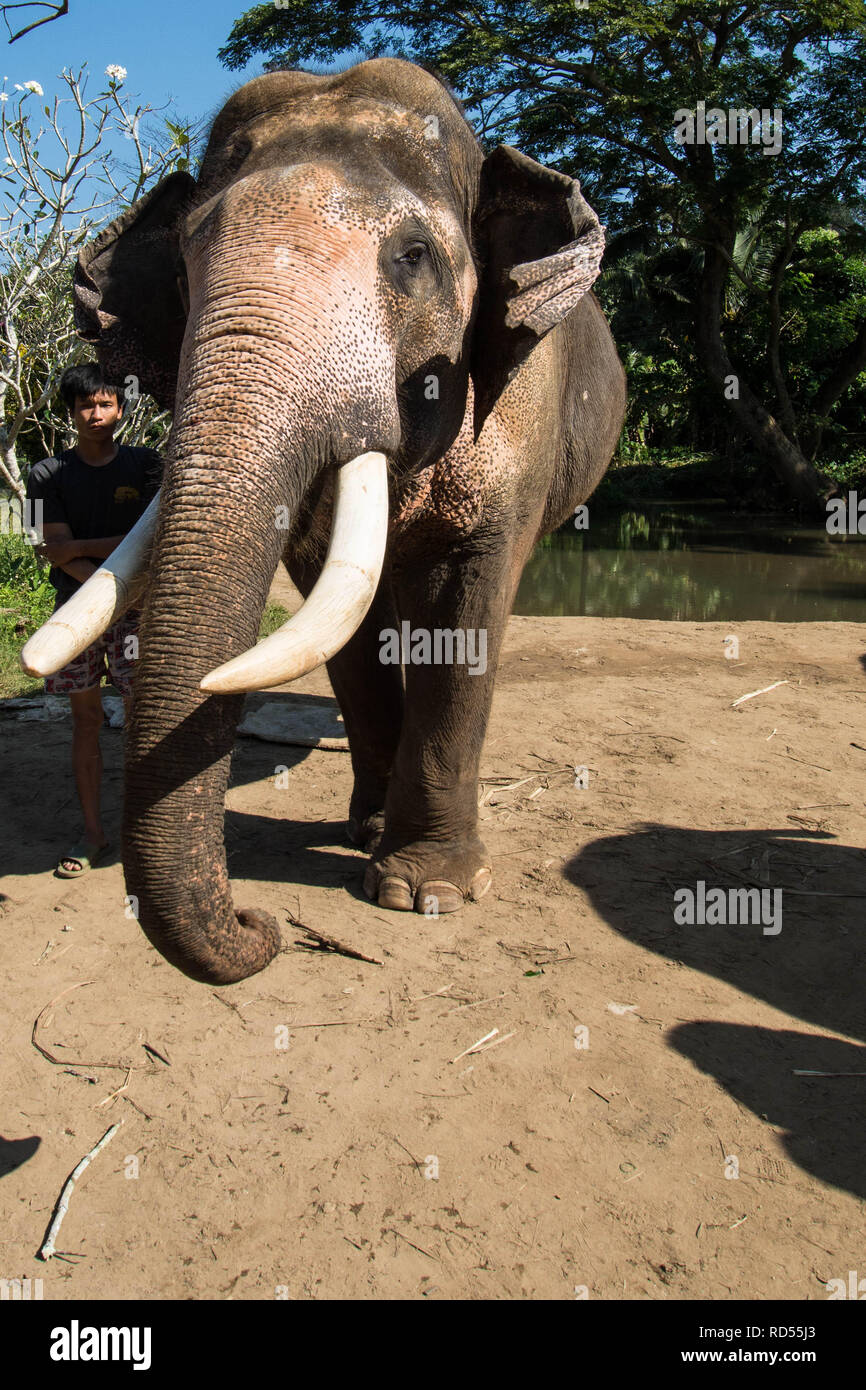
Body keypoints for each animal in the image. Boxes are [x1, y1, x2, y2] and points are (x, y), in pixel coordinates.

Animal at [33, 58, 626, 984]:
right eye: (184, 271)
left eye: (413, 257)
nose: (259, 922)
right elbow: (336, 607)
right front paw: (368, 837)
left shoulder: (518, 412)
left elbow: (466, 592)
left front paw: (427, 891)